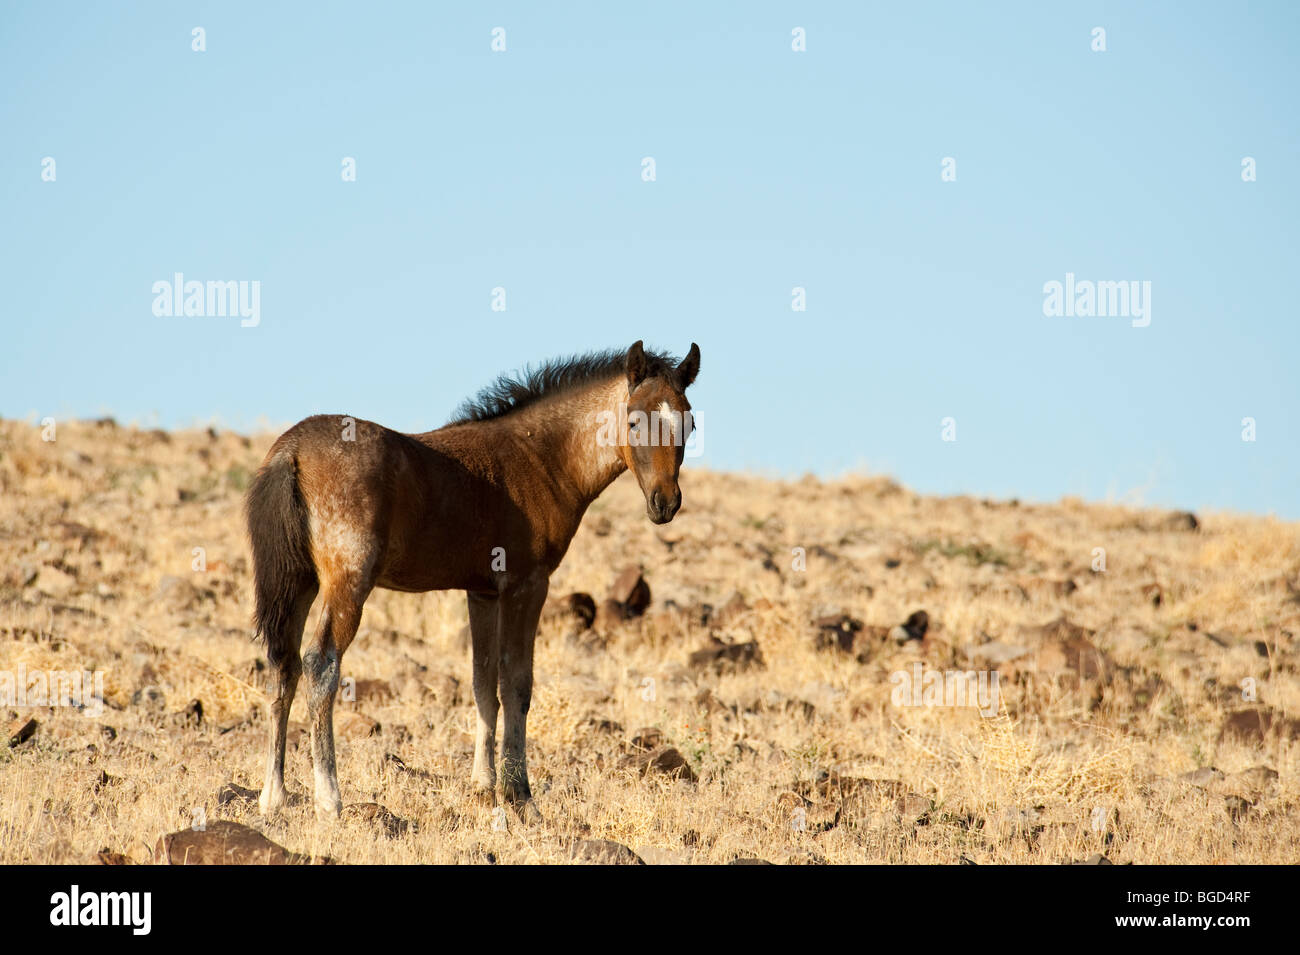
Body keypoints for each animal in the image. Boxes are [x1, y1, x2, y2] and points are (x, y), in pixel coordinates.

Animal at [245, 341, 700, 821]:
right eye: (633, 420)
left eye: (689, 422)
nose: (665, 503)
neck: (541, 460)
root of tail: (291, 451)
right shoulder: (527, 585)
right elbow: (516, 683)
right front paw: (521, 796)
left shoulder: (481, 592)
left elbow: (483, 683)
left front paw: (483, 788)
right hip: (347, 583)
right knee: (321, 664)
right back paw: (329, 799)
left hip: (299, 584)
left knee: (284, 664)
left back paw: (273, 796)